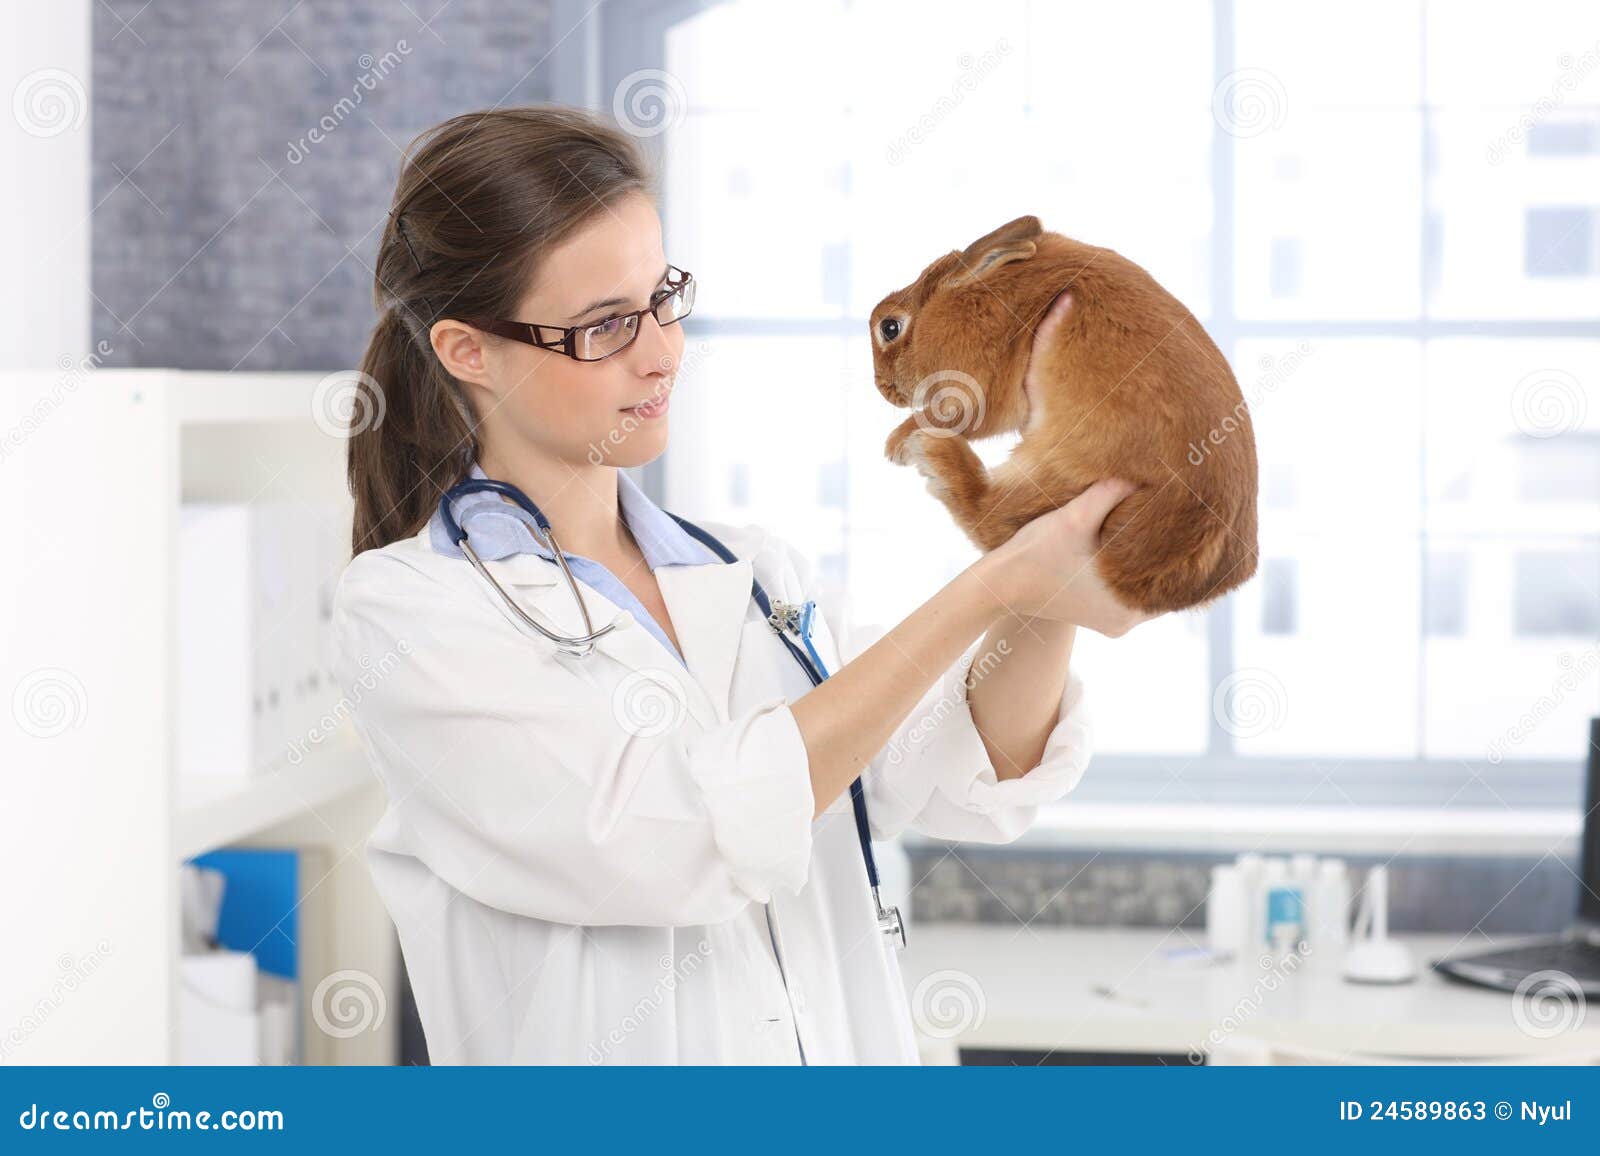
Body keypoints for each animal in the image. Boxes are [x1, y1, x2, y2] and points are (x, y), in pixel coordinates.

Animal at [870, 214, 1258, 616]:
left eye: (889, 327)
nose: (879, 387)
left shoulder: (974, 389)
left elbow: (949, 416)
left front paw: (896, 441)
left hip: (1066, 463)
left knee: (990, 513)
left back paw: (933, 454)